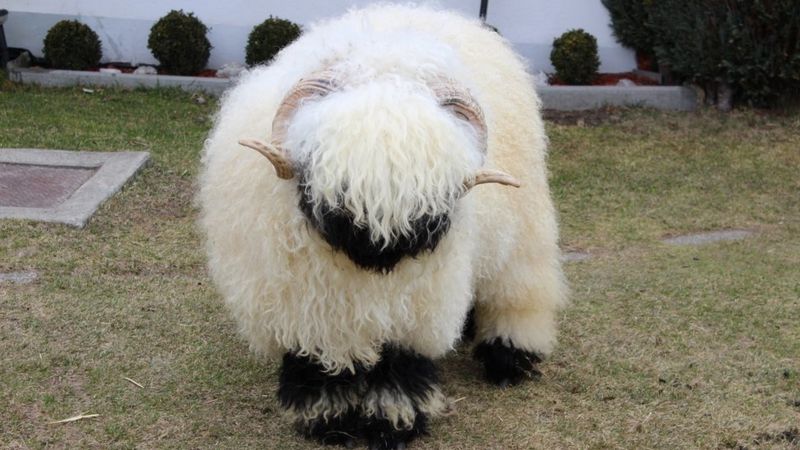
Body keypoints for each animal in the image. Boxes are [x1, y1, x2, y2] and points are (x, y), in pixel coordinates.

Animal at [198, 4, 567, 449]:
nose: (381, 246)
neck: (366, 275)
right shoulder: (302, 307)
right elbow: (318, 365)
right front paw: (331, 423)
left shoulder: (414, 309)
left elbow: (398, 367)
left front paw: (392, 426)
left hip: (523, 232)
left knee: (518, 289)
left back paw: (510, 358)